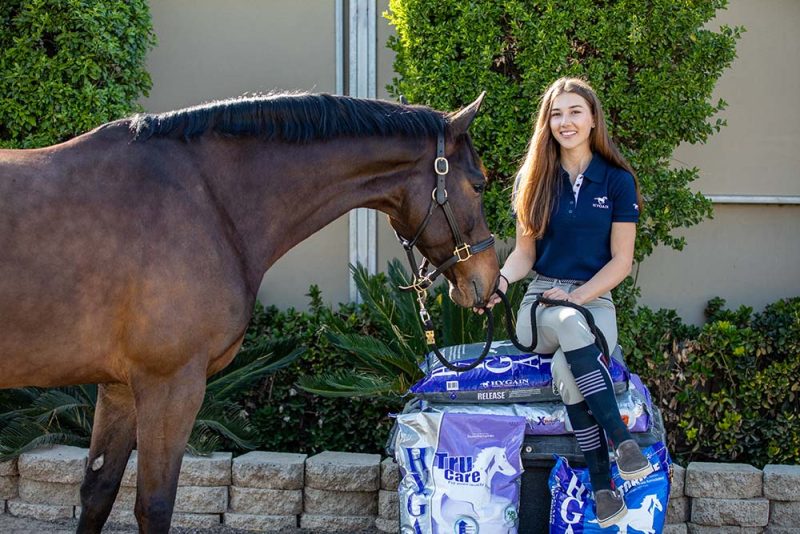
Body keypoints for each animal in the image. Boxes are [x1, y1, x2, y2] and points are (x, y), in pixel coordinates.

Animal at [0, 92, 499, 533]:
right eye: (478, 183)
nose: (489, 280)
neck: (208, 200)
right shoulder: (169, 386)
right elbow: (154, 506)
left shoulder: (119, 388)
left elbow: (97, 493)